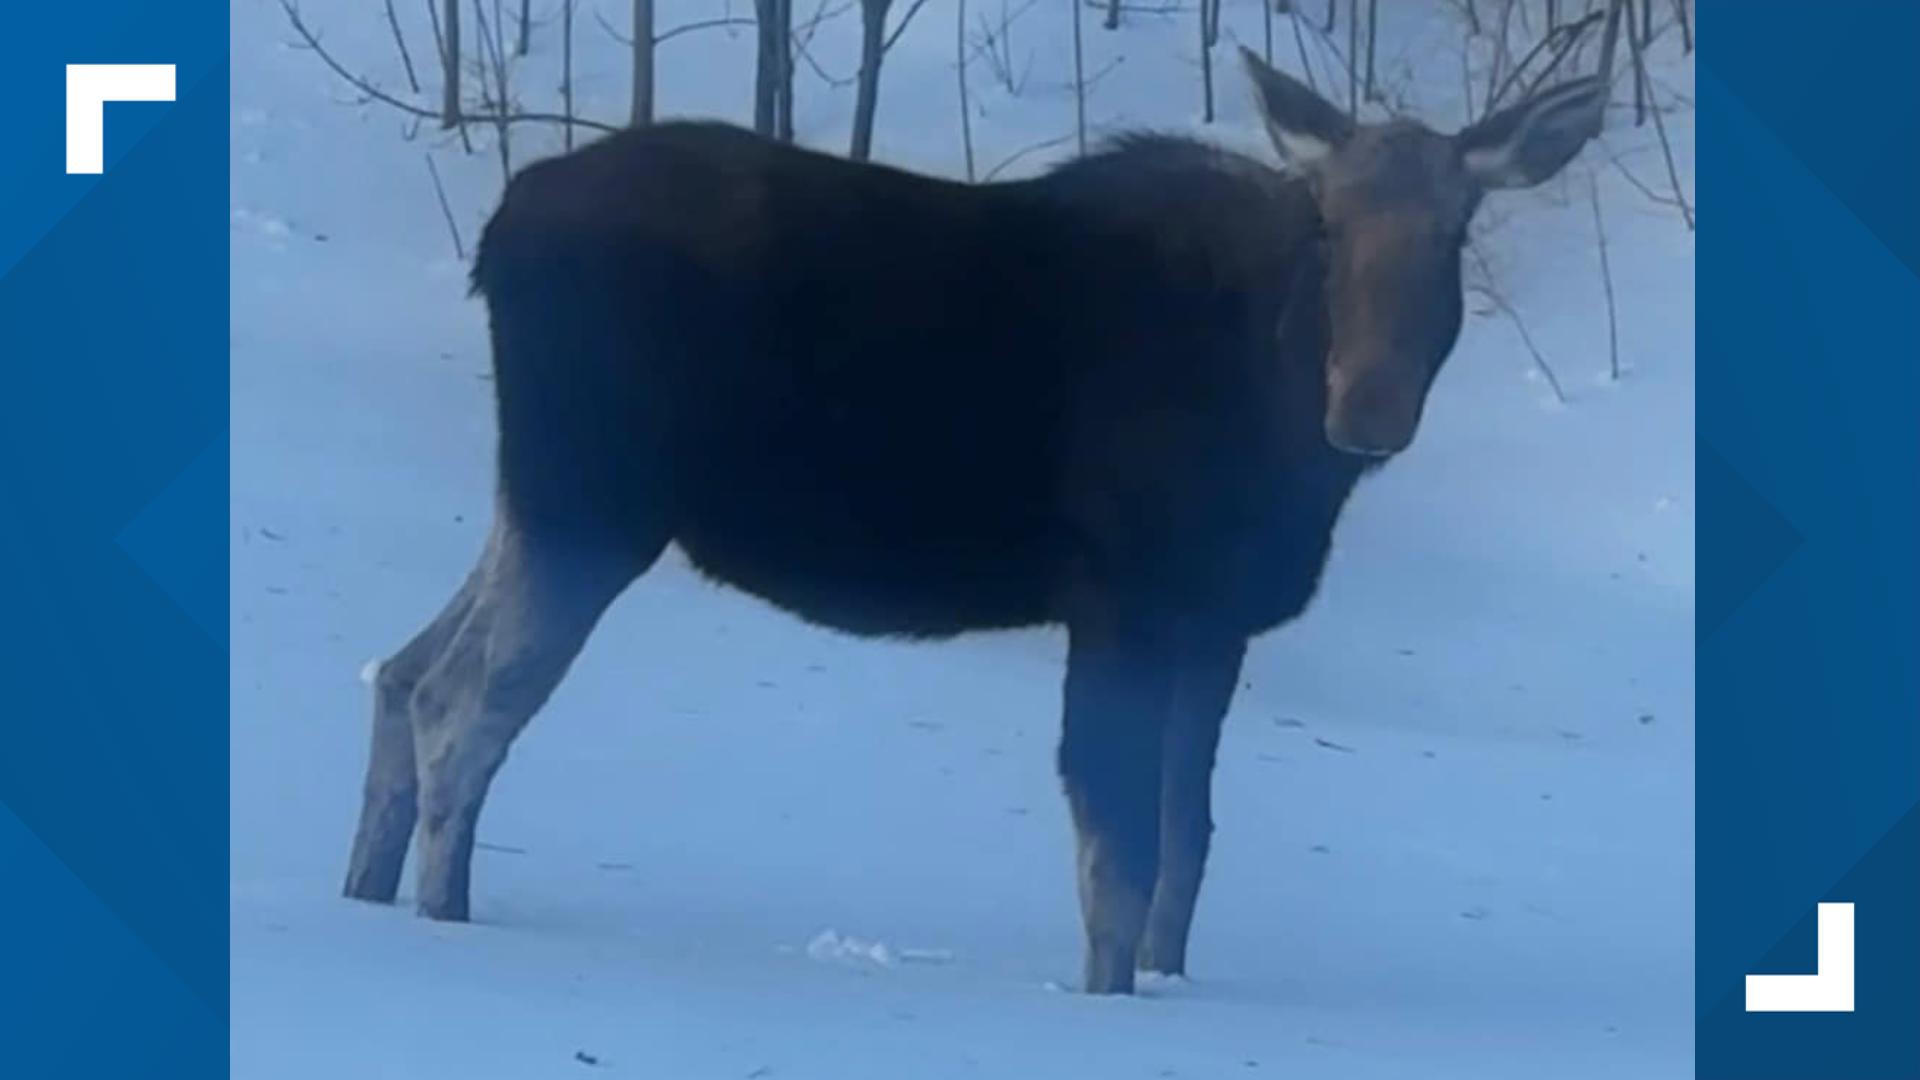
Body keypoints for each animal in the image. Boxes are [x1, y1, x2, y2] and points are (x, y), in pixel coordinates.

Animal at [342, 50, 1605, 994]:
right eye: (1328, 224)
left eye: (1456, 229)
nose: (1371, 409)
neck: (1288, 444)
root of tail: (499, 234)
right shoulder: (1122, 601)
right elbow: (1118, 855)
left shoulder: (1215, 625)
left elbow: (1187, 849)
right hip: (590, 500)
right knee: (466, 699)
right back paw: (449, 920)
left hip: (538, 498)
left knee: (402, 669)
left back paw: (370, 890)